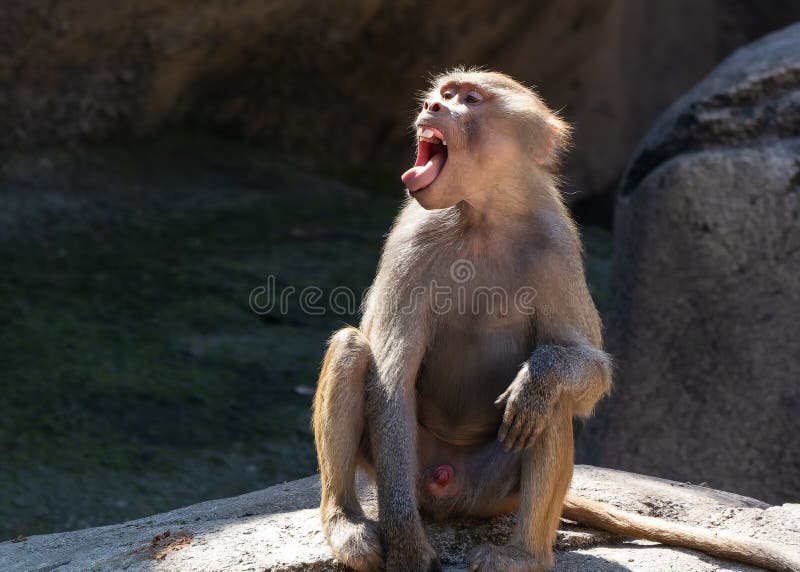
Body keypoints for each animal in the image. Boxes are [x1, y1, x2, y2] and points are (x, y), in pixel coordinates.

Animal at [312, 69, 800, 572]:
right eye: (445, 94)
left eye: (469, 99)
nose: (431, 107)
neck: (483, 215)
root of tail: (446, 487)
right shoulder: (413, 241)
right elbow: (393, 379)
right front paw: (407, 544)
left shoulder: (557, 249)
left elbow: (586, 372)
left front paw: (540, 377)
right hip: (407, 463)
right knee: (352, 348)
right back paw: (347, 525)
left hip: (494, 485)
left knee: (552, 404)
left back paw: (523, 554)